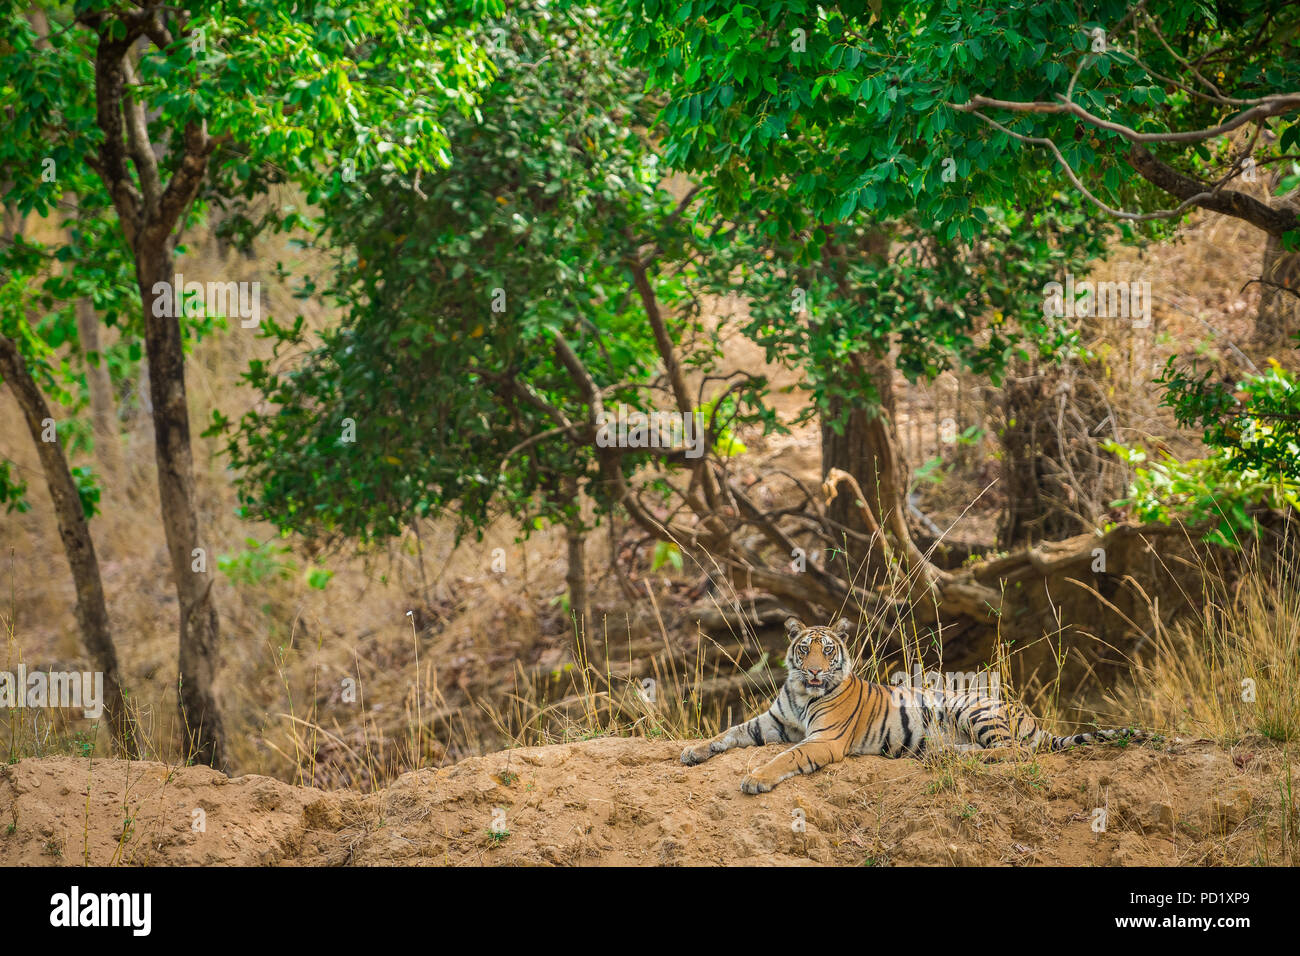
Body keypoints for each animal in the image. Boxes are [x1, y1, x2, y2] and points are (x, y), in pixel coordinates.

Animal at [680, 617, 1145, 794]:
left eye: (827, 651)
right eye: (804, 649)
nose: (813, 671)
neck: (801, 693)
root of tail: (1028, 714)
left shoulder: (823, 740)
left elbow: (784, 757)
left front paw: (755, 779)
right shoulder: (772, 723)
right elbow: (729, 732)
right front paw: (692, 751)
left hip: (970, 706)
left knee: (1013, 751)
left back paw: (954, 757)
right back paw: (943, 754)